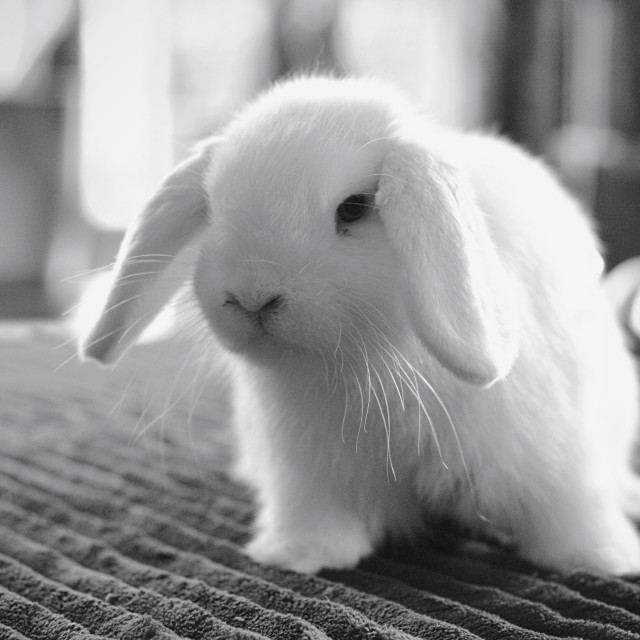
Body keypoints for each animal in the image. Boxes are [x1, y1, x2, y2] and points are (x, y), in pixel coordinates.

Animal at [79, 75, 640, 575]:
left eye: (354, 208)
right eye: (211, 208)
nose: (252, 295)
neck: (371, 358)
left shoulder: (560, 455)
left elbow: (571, 513)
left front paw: (602, 560)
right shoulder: (307, 471)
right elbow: (319, 517)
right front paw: (301, 555)